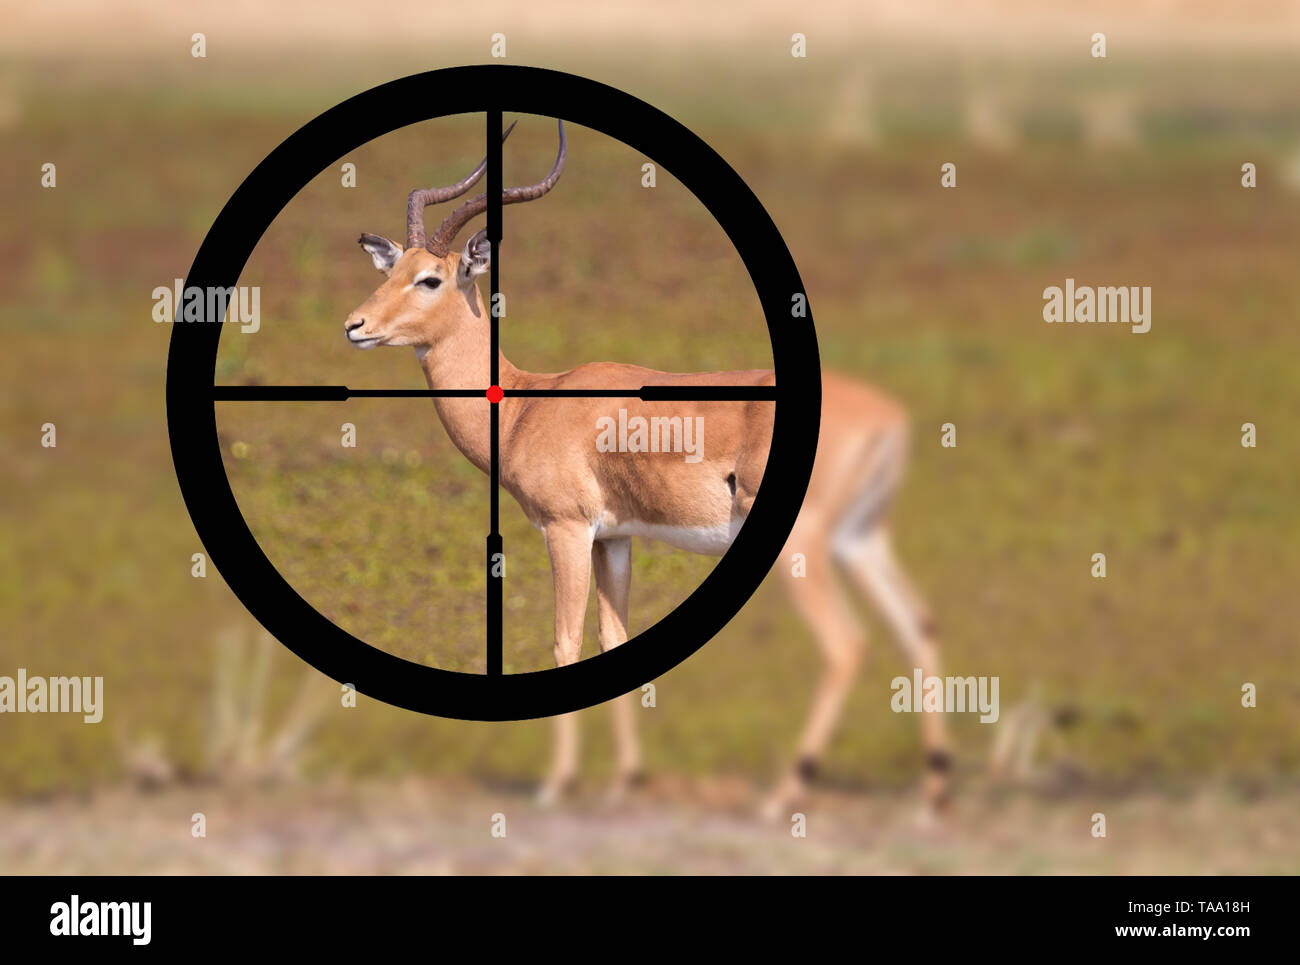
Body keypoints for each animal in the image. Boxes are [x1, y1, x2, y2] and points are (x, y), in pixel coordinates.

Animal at [343, 121, 949, 812]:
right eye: (393, 269)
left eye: (430, 280)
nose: (355, 325)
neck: (528, 403)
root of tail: (886, 416)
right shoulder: (617, 537)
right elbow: (614, 639)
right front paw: (624, 782)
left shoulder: (568, 530)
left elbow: (564, 640)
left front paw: (556, 786)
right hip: (859, 538)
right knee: (919, 625)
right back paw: (931, 796)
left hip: (808, 546)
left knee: (847, 645)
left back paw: (780, 798)